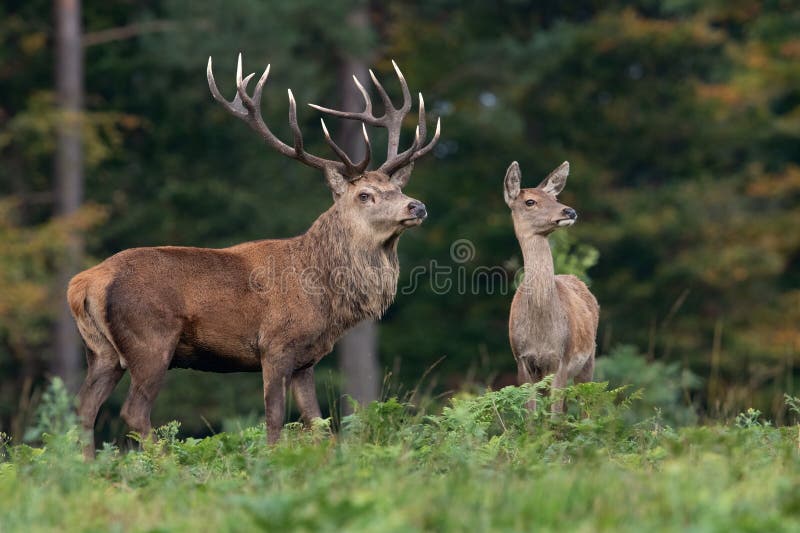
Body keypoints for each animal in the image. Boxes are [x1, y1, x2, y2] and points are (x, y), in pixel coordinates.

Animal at [67, 53, 441, 456]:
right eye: (364, 195)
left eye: (396, 188)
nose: (417, 206)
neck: (325, 295)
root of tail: (83, 284)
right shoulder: (275, 345)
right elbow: (274, 419)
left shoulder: (306, 360)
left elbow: (318, 424)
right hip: (149, 340)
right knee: (133, 411)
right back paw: (164, 462)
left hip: (101, 351)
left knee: (83, 408)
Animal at [503, 161, 599, 413]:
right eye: (530, 201)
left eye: (555, 197)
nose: (569, 211)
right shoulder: (522, 360)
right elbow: (532, 416)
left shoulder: (562, 359)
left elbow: (553, 416)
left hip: (589, 358)